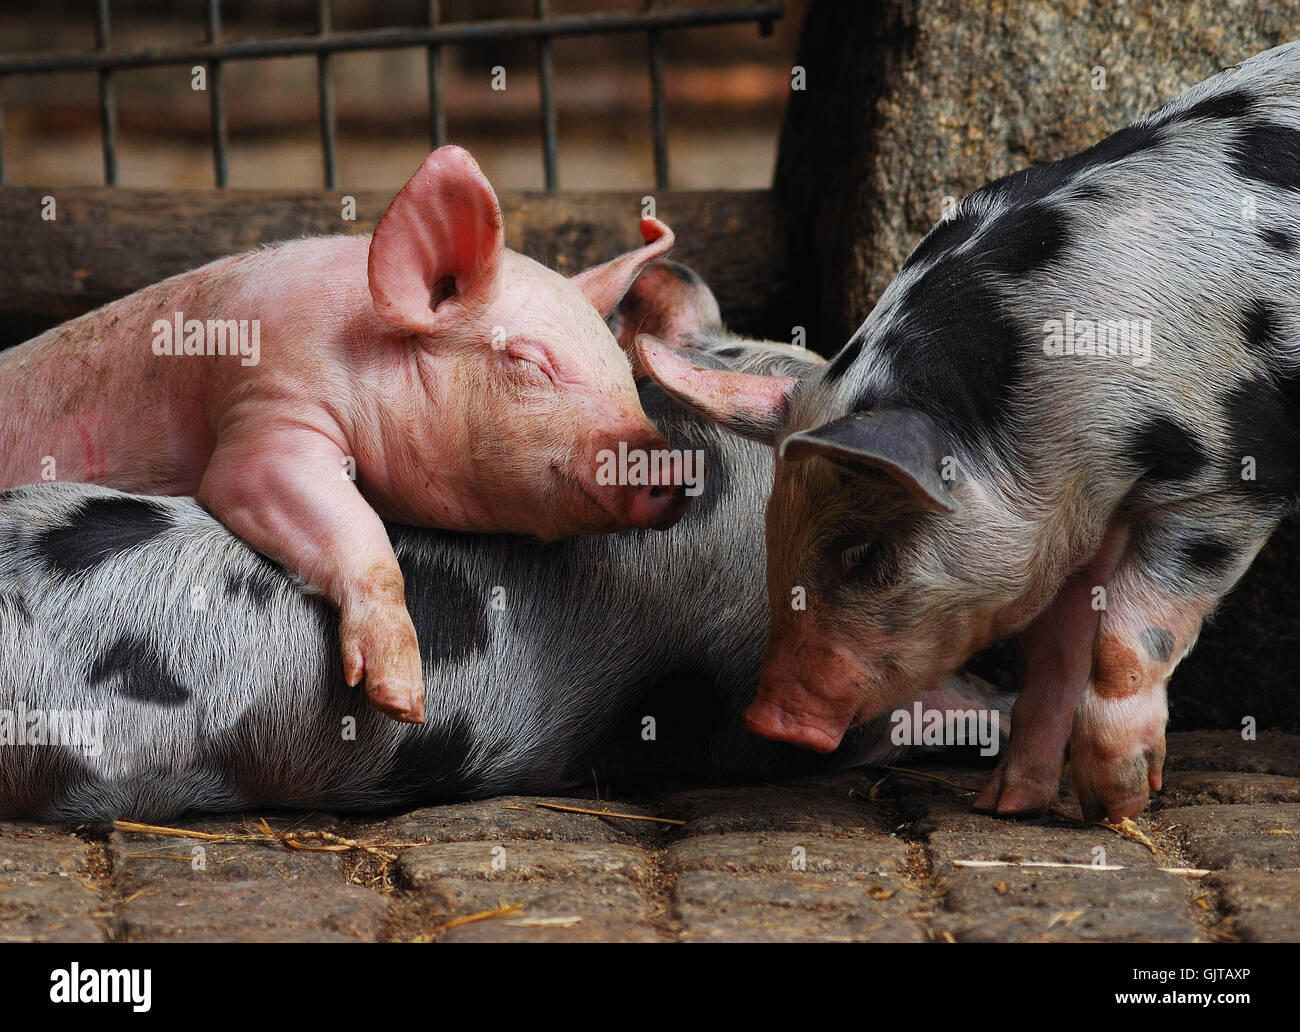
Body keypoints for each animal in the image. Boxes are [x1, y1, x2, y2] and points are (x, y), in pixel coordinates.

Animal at [0, 145, 685, 728]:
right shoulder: (268, 413)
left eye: (626, 369)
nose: (670, 468)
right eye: (529, 361)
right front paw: (403, 703)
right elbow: (343, 521)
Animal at [637, 41, 1300, 822]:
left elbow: (1123, 642)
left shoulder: (1228, 478)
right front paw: (1005, 806)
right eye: (770, 536)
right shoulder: (1083, 509)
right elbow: (1053, 646)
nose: (769, 718)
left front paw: (1118, 807)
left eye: (861, 553)